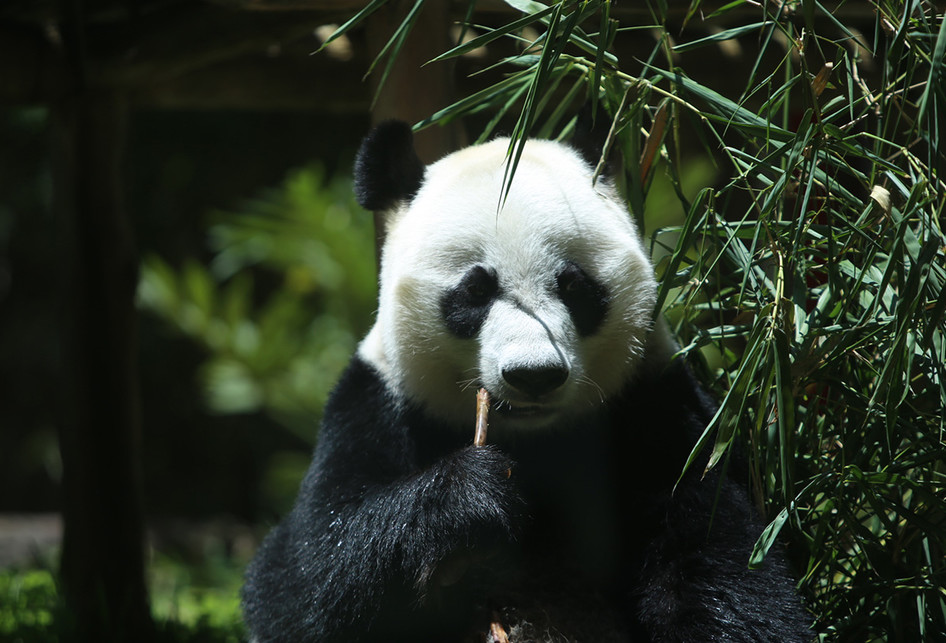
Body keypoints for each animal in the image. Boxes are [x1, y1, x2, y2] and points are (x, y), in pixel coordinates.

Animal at [240, 117, 808, 643]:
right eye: (476, 290)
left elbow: (720, 564)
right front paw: (469, 499)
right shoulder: (377, 404)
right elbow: (305, 578)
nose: (534, 375)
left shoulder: (659, 409)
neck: (534, 440)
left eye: (574, 286)